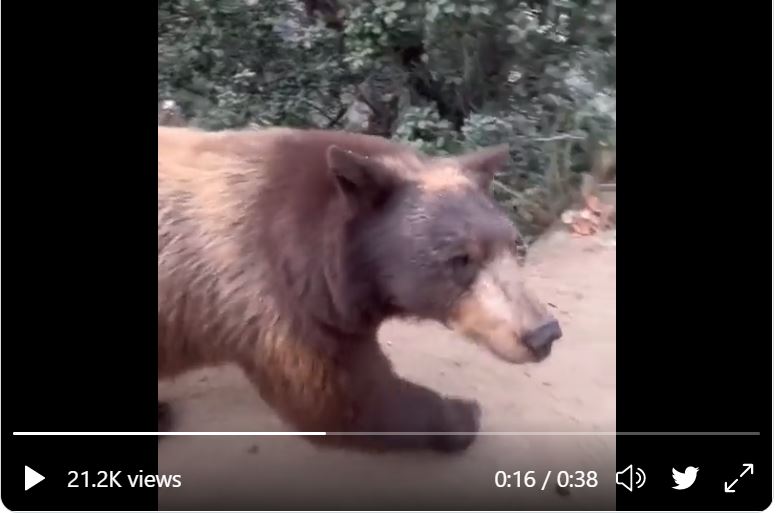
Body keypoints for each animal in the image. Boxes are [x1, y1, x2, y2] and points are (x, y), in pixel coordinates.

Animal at [158, 125, 562, 453]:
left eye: (514, 244)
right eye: (460, 259)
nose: (543, 333)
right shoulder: (281, 301)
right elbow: (341, 396)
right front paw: (462, 415)